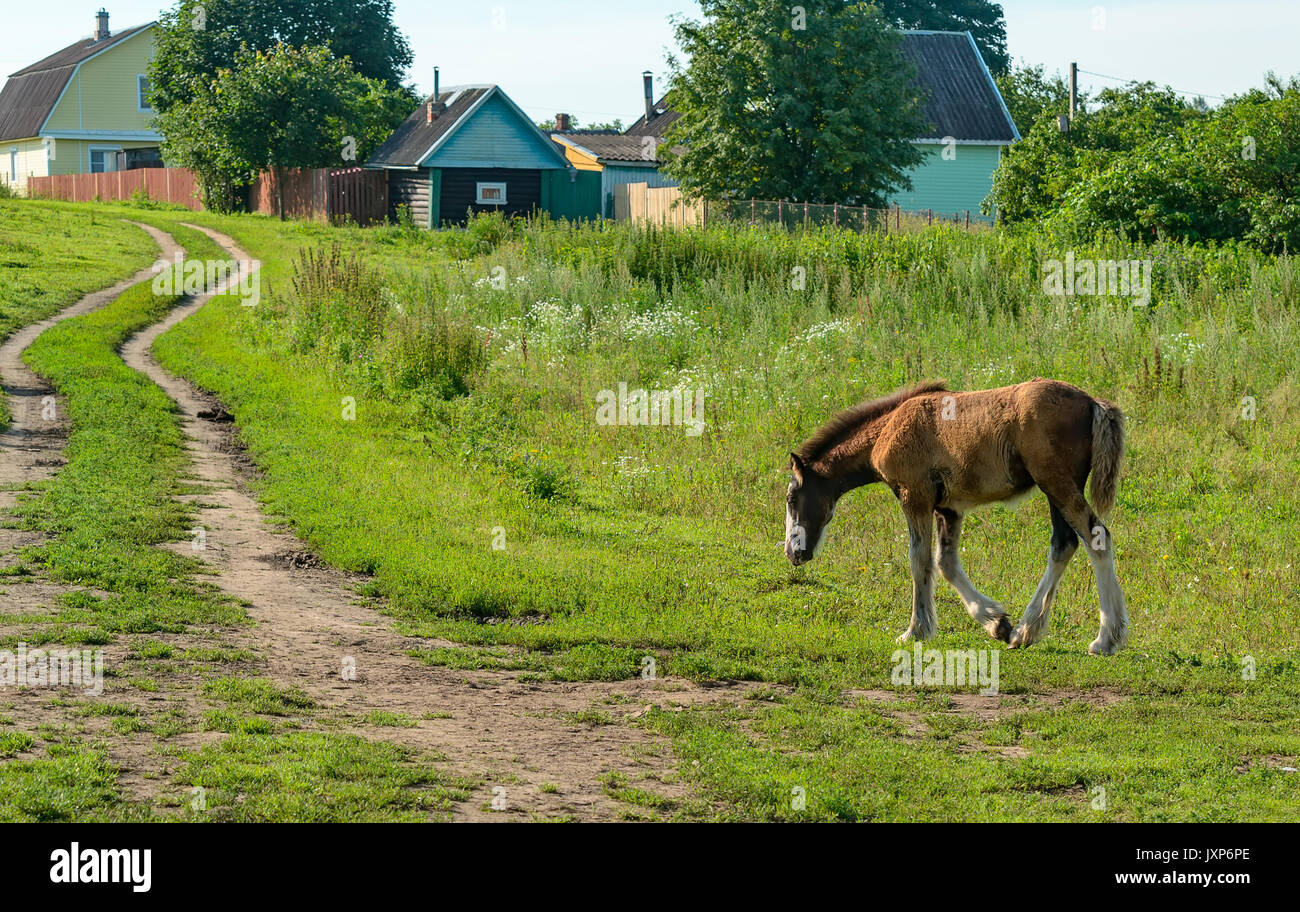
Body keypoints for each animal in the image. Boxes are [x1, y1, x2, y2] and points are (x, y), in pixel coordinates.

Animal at [784, 378, 1128, 655]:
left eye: (790, 498)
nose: (793, 553)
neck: (888, 427)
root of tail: (1092, 403)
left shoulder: (915, 496)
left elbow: (919, 560)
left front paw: (915, 630)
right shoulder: (948, 508)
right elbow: (945, 563)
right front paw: (996, 623)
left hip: (1057, 484)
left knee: (1096, 537)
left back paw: (1105, 639)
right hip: (1055, 490)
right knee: (1064, 544)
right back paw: (1025, 631)